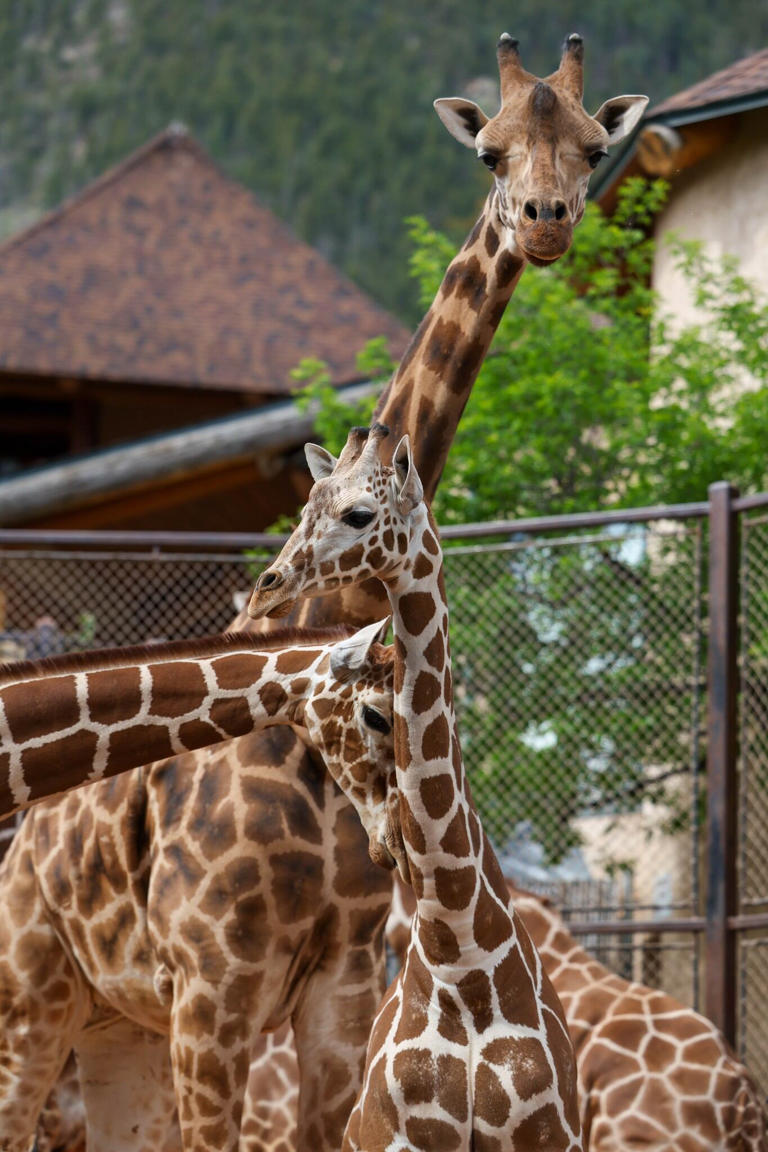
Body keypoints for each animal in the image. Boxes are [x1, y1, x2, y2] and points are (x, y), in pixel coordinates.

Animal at [0, 623, 403, 1152]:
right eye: (375, 715)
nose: (396, 841)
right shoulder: (210, 988)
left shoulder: (346, 983)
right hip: (31, 1007)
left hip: (119, 1032)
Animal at [248, 423, 582, 1150]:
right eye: (306, 503)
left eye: (359, 515)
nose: (265, 589)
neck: (461, 963)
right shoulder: (396, 1134)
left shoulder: (550, 1134)